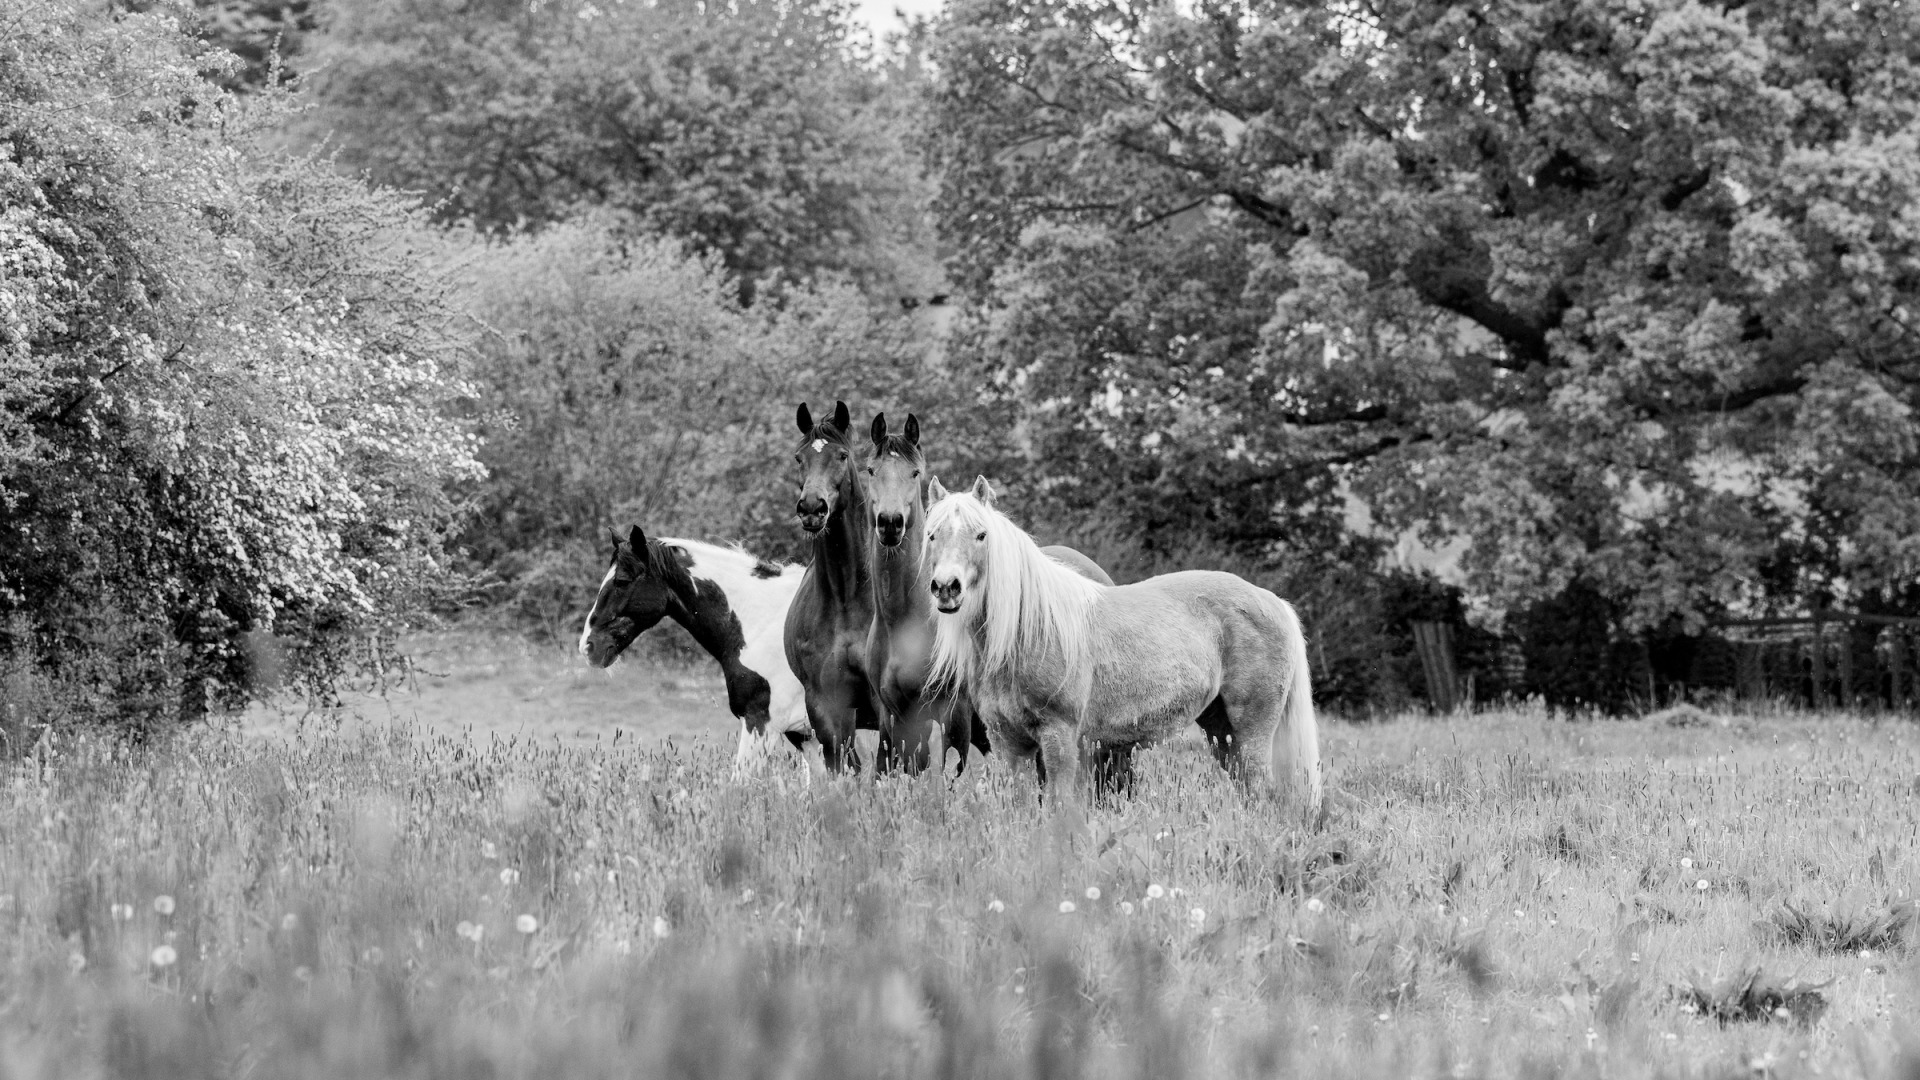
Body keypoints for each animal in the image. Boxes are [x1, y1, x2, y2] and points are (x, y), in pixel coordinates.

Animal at [863, 411, 1114, 776]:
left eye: (915, 473)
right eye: (871, 470)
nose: (890, 523)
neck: (904, 622)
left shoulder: (951, 717)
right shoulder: (892, 718)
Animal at [923, 477, 1323, 809]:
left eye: (981, 535)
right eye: (931, 535)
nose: (946, 588)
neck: (1030, 630)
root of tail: (1272, 600)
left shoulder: (1060, 737)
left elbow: (1059, 805)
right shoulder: (1009, 743)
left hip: (1251, 730)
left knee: (1260, 791)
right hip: (1220, 729)